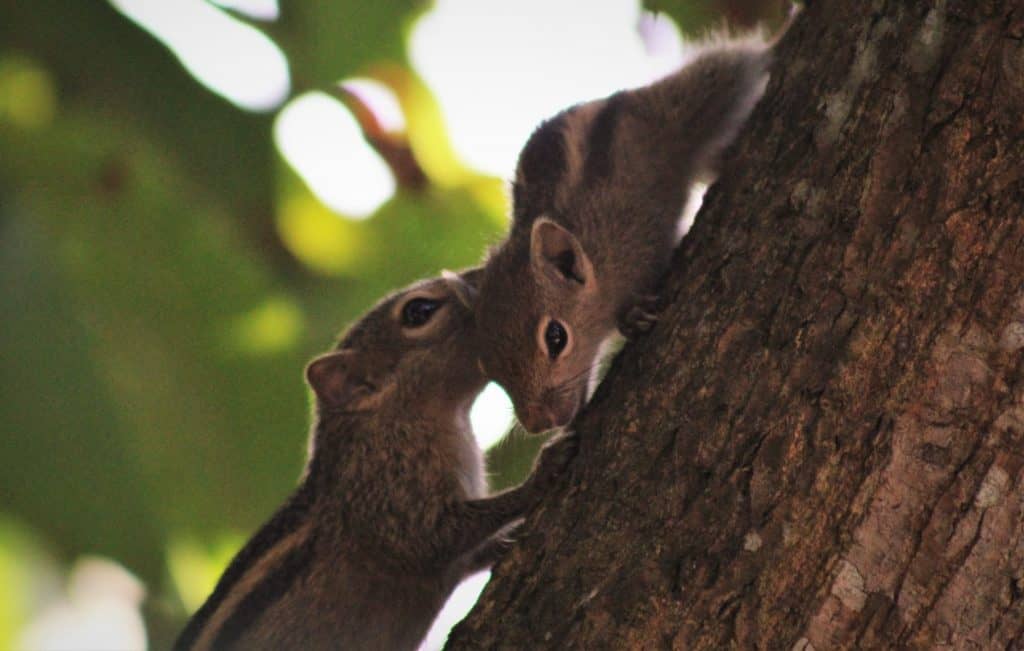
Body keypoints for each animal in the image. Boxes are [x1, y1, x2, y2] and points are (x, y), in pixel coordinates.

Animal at [472, 33, 777, 433]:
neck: (601, 261)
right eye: (488, 365)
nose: (539, 423)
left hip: (680, 110)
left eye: (556, 337)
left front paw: (632, 313)